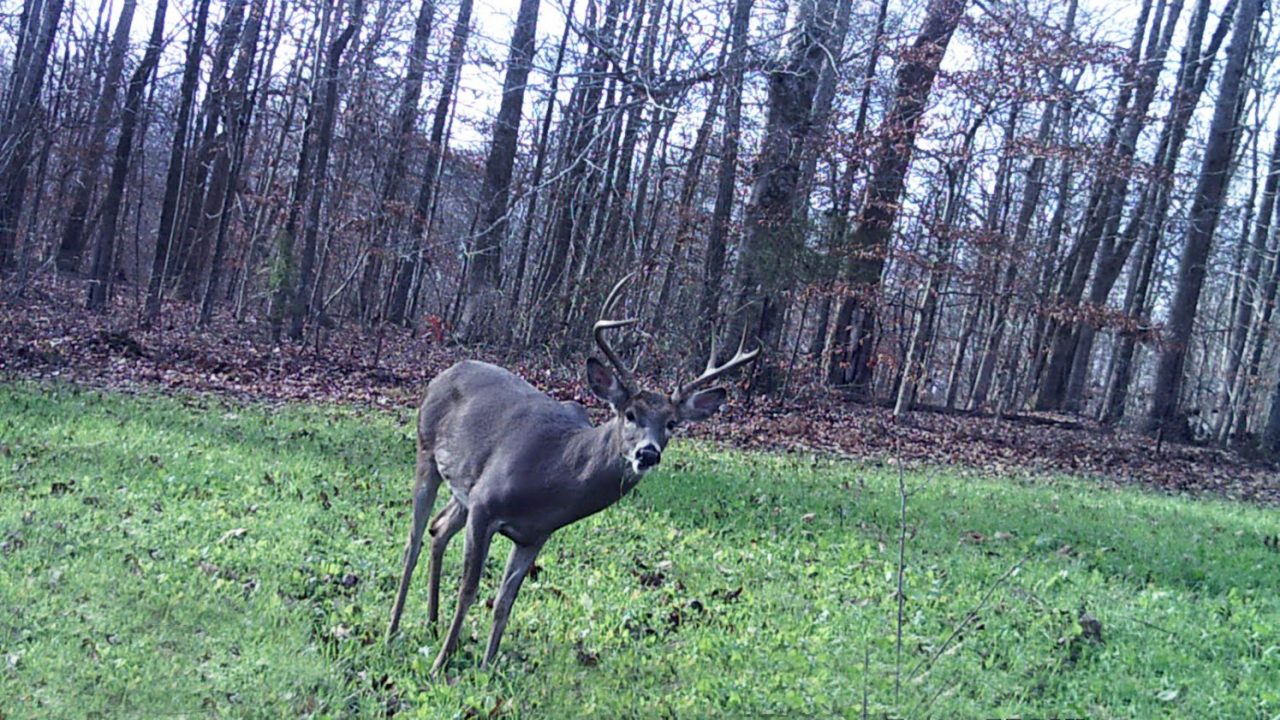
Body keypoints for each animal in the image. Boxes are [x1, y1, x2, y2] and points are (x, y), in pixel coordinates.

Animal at [385, 275, 759, 675]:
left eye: (672, 424)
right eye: (630, 414)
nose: (647, 453)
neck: (553, 474)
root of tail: (446, 372)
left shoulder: (534, 535)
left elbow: (505, 601)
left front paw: (486, 667)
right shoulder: (485, 506)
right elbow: (469, 589)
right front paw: (440, 665)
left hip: (463, 488)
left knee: (438, 529)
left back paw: (431, 623)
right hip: (426, 451)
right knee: (413, 540)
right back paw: (394, 629)